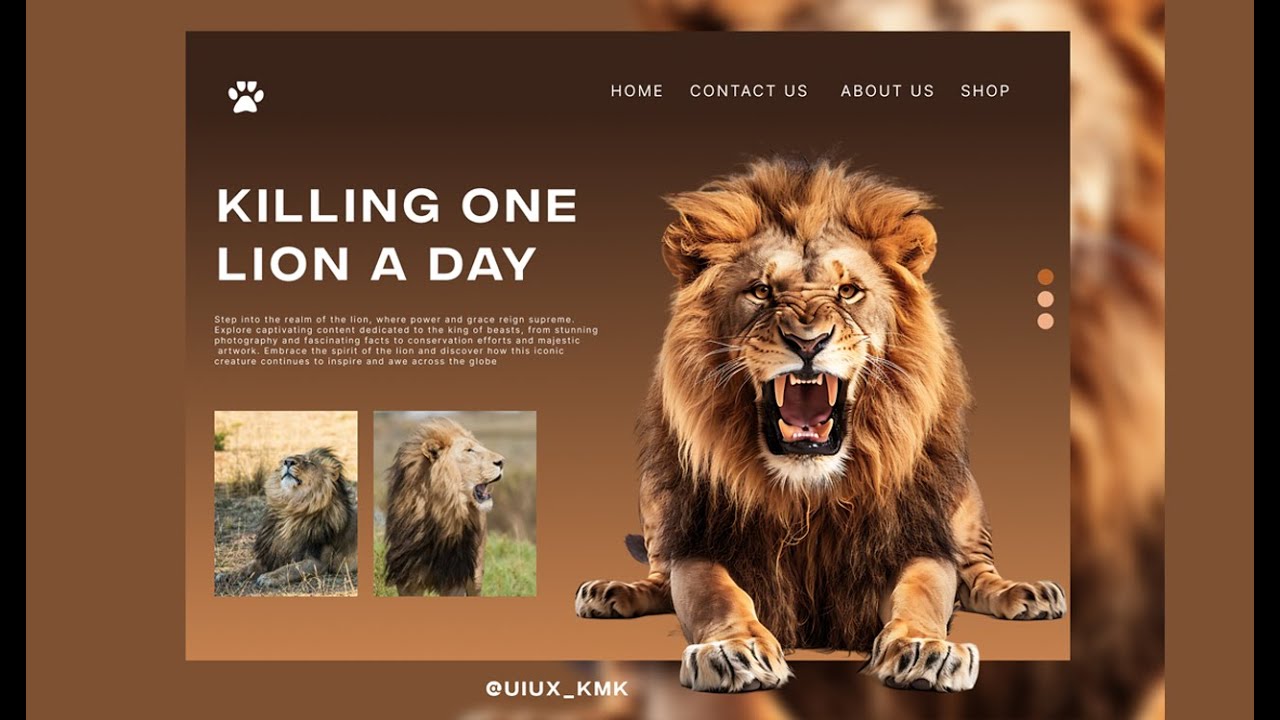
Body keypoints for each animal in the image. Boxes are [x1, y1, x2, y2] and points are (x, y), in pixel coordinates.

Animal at [218, 447, 358, 588]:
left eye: (309, 462)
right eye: (285, 459)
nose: (288, 462)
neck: (291, 508)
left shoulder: (318, 562)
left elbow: (290, 568)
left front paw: (269, 577)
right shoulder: (270, 555)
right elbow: (247, 567)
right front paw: (226, 574)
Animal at [383, 418, 505, 597]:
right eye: (469, 450)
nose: (502, 462)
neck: (438, 515)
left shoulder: (454, 578)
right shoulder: (407, 578)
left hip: (476, 575)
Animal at [574, 157, 1066, 693]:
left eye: (848, 292)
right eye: (761, 292)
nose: (808, 341)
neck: (809, 495)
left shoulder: (915, 540)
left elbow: (923, 592)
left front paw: (925, 649)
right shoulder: (700, 542)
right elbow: (716, 594)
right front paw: (734, 650)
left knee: (976, 573)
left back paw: (1026, 594)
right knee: (659, 576)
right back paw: (612, 592)